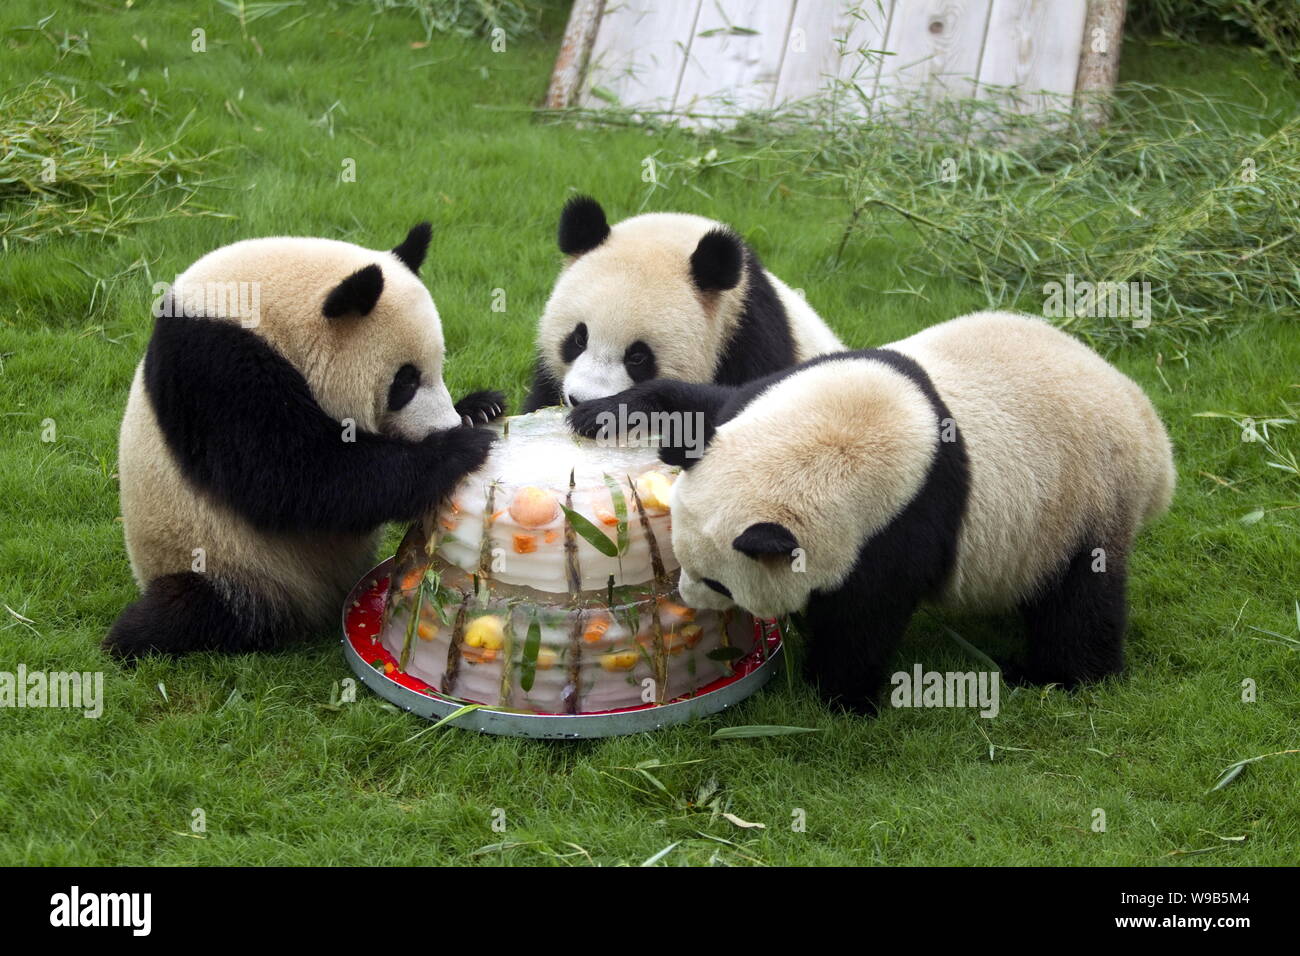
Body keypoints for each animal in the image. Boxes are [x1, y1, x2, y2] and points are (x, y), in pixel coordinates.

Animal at [105, 225, 505, 658]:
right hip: (221, 562)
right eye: (406, 381)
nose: (443, 426)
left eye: (439, 367)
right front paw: (460, 447)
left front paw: (481, 409)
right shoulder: (215, 369)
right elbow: (295, 478)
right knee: (187, 612)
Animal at [570, 311, 1176, 713]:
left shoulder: (904, 525)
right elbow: (696, 405)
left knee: (1080, 599)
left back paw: (1057, 676)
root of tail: (1152, 435)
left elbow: (862, 619)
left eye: (718, 583)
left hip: (1084, 500)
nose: (688, 597)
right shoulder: (767, 396)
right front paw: (602, 415)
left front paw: (835, 694)